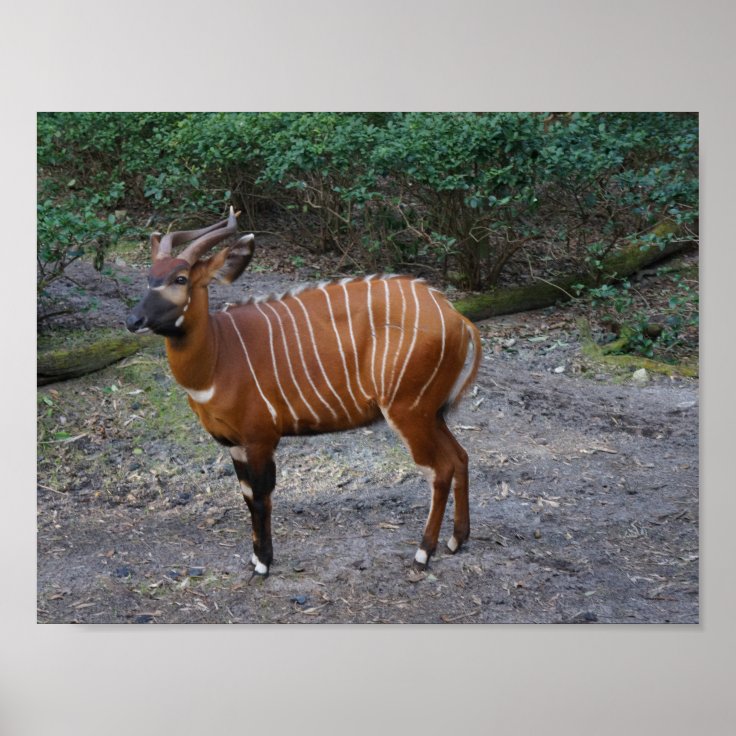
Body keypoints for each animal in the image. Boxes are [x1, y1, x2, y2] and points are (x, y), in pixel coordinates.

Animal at [126, 208, 481, 577]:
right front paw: (255, 557)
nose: (133, 320)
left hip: (409, 411)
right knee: (460, 457)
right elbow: (246, 495)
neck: (219, 354)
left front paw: (263, 563)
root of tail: (458, 318)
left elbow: (261, 497)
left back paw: (423, 552)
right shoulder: (235, 444)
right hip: (432, 413)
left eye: (180, 279)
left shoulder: (260, 438)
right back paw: (457, 540)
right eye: (149, 277)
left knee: (440, 469)